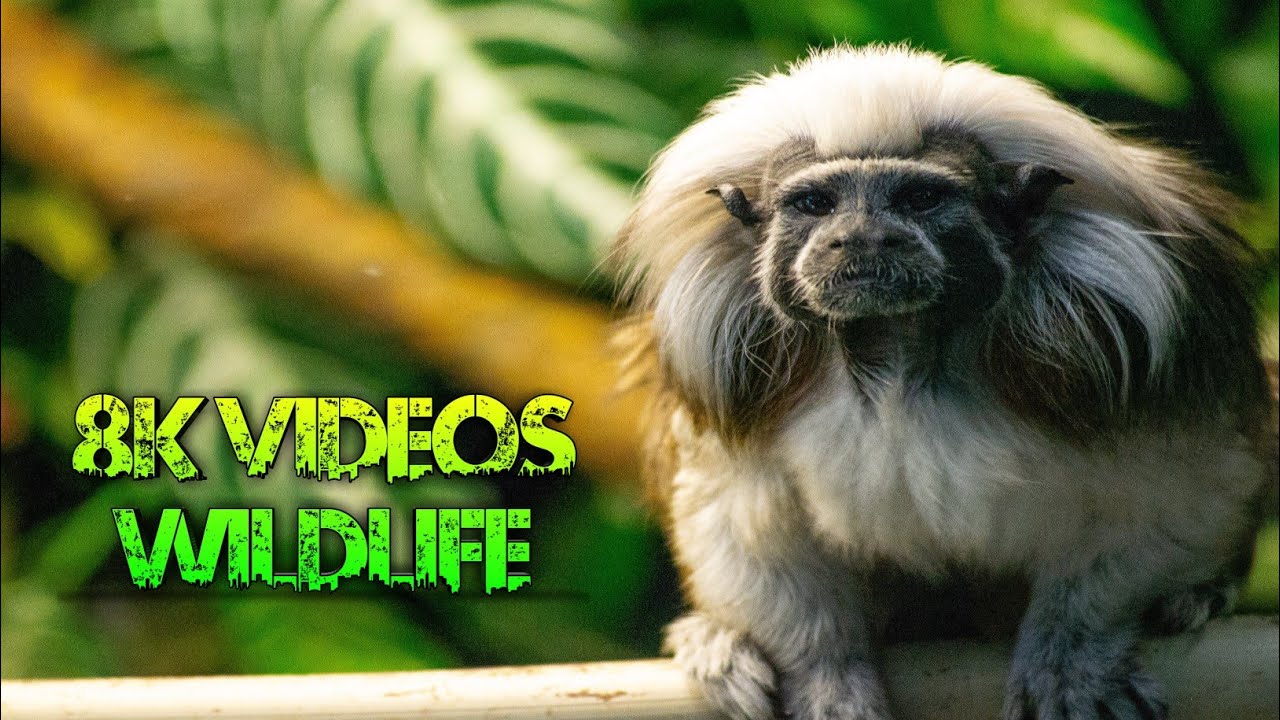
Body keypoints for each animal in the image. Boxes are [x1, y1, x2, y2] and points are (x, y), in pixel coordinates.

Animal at [611, 45, 1274, 720]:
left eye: (920, 198)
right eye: (816, 204)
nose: (862, 239)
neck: (900, 356)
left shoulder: (1132, 344)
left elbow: (1169, 500)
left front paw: (1073, 652)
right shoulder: (732, 374)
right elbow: (746, 520)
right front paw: (826, 675)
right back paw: (716, 642)